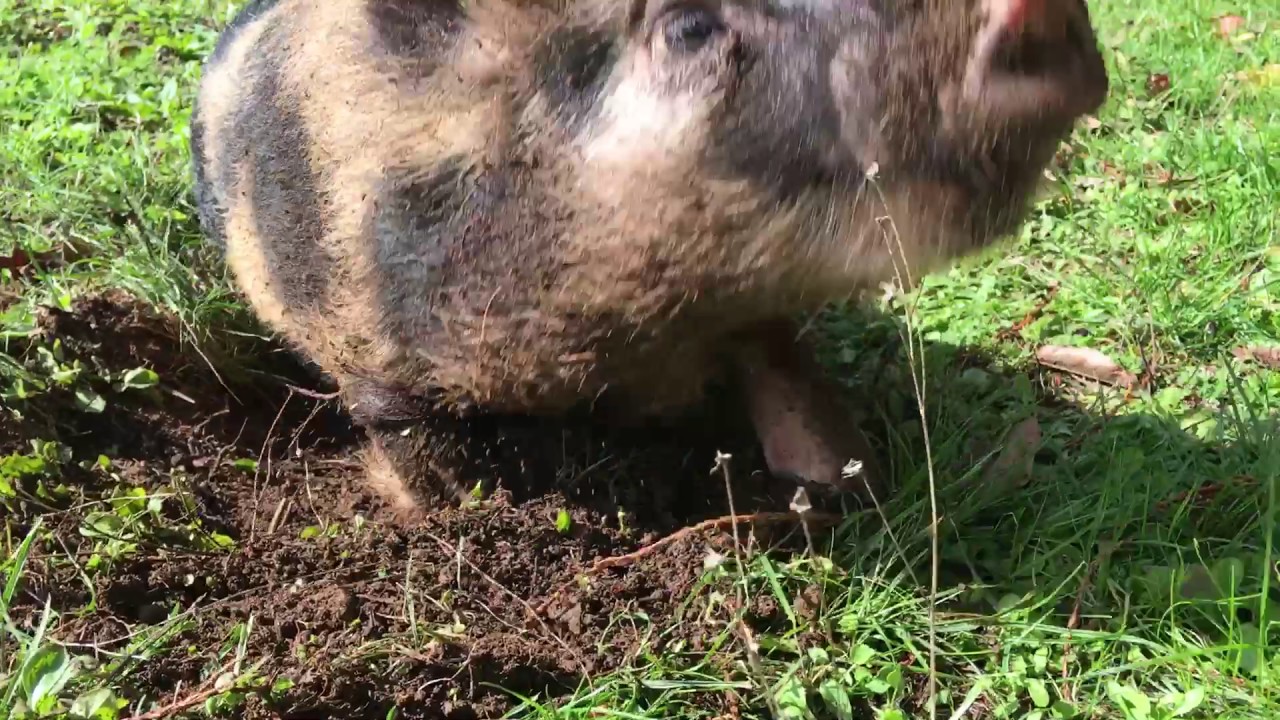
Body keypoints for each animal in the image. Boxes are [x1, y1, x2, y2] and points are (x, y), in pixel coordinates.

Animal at [190, 0, 1108, 512]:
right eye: (689, 27)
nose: (1035, 3)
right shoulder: (372, 359)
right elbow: (417, 447)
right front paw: (450, 514)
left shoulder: (748, 312)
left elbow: (785, 369)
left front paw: (846, 487)